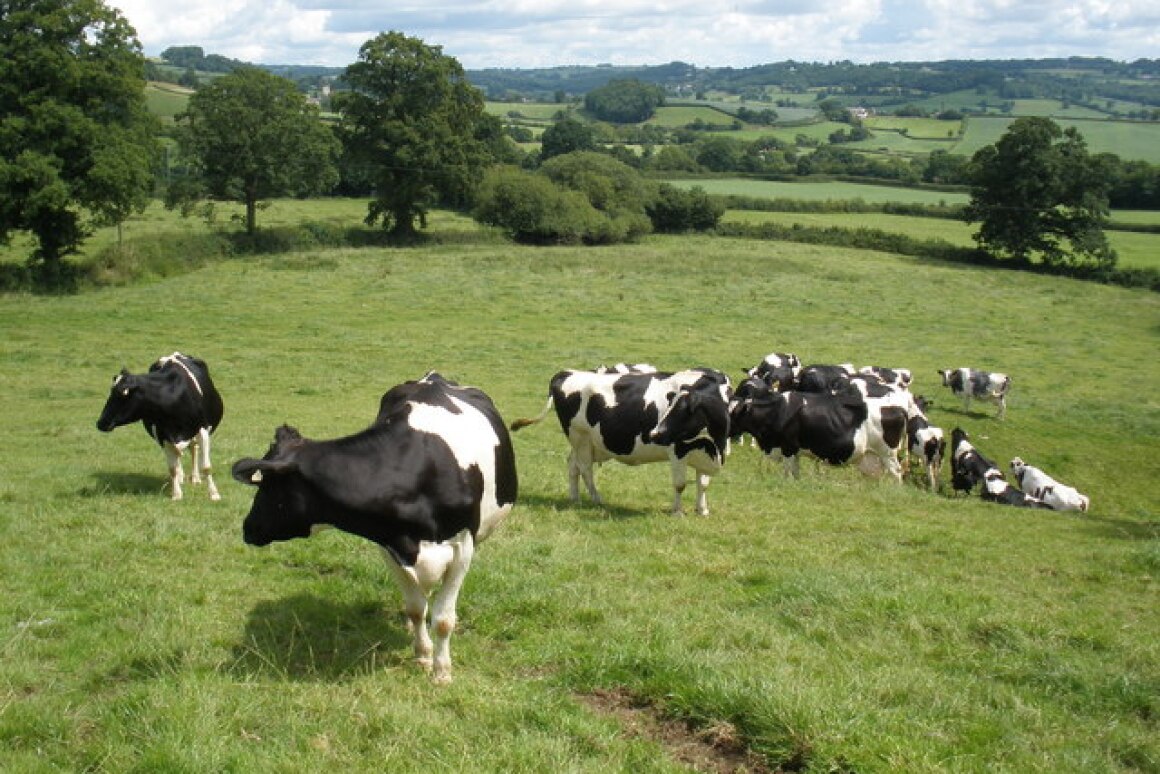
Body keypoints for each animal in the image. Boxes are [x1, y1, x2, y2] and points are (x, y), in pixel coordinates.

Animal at [96, 351, 224, 501]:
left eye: (123, 394)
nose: (100, 423)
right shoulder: (163, 436)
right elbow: (172, 469)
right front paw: (176, 494)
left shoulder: (202, 430)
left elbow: (206, 467)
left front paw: (214, 494)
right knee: (178, 455)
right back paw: (180, 477)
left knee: (193, 449)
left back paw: (195, 478)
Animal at [232, 372, 517, 683]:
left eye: (265, 484)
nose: (247, 527)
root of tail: (434, 377)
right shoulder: (389, 546)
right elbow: (416, 608)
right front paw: (423, 654)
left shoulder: (462, 546)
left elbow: (443, 620)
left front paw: (442, 672)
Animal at [510, 367, 731, 516]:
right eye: (672, 405)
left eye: (685, 410)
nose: (656, 434)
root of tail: (567, 372)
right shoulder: (678, 450)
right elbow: (680, 484)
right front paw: (677, 512)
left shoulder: (705, 451)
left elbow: (703, 484)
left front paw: (702, 510)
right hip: (580, 436)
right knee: (585, 468)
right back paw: (597, 499)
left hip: (587, 442)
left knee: (573, 465)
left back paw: (575, 498)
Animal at [730, 383, 906, 481]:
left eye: (732, 414)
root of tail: (898, 408)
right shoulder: (795, 450)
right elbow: (795, 472)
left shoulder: (788, 447)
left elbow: (787, 471)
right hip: (874, 456)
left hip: (887, 453)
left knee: (897, 473)